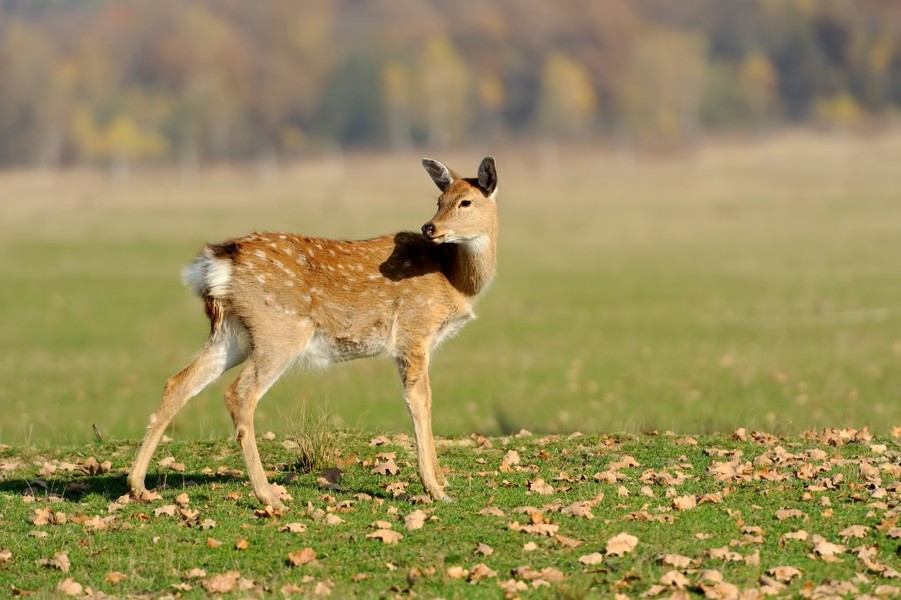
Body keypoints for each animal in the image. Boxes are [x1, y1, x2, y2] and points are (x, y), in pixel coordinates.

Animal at [128, 157, 499, 510]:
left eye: (464, 201)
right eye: (439, 200)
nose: (430, 227)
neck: (456, 280)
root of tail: (215, 265)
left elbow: (425, 400)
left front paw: (442, 479)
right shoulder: (414, 328)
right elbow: (420, 401)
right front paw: (435, 488)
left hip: (231, 332)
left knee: (178, 382)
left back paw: (138, 486)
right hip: (279, 329)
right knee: (239, 394)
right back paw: (269, 496)